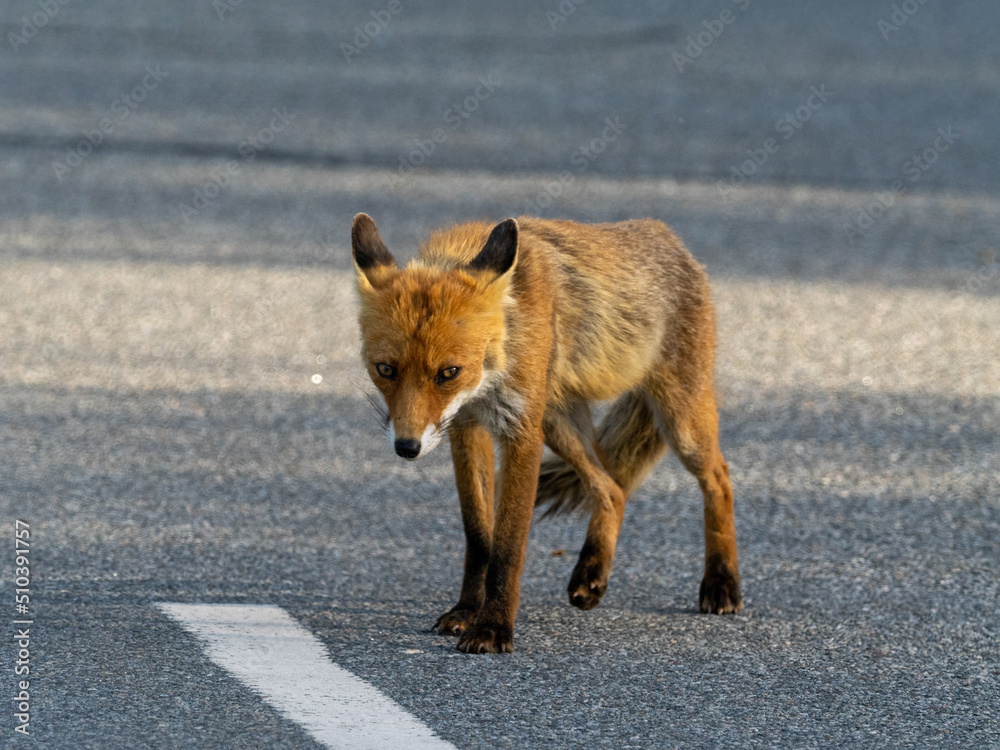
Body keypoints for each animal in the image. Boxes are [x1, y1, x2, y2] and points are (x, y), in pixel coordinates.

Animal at [351, 212, 741, 654]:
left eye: (448, 372)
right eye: (385, 369)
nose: (407, 447)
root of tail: (668, 237)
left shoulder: (522, 433)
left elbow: (508, 546)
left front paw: (493, 628)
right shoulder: (464, 429)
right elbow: (479, 536)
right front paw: (468, 610)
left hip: (680, 422)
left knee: (719, 478)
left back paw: (722, 582)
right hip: (562, 425)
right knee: (612, 488)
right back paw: (592, 572)